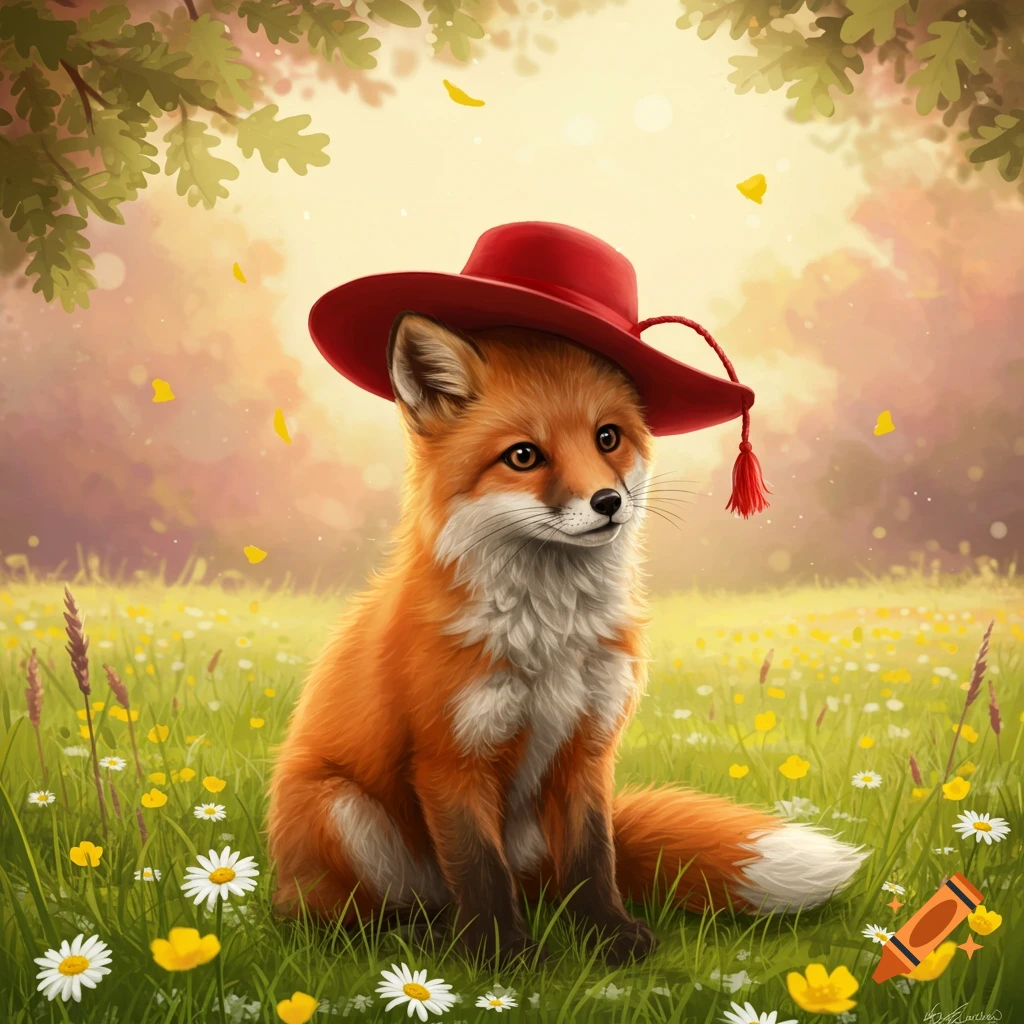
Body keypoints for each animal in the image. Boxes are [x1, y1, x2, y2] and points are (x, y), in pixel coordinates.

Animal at [266, 311, 868, 964]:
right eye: (523, 455)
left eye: (607, 437)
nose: (609, 502)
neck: (549, 635)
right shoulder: (451, 759)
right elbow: (479, 868)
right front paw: (502, 956)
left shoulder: (588, 747)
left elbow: (592, 859)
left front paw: (608, 936)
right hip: (340, 810)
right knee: (348, 916)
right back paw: (422, 935)